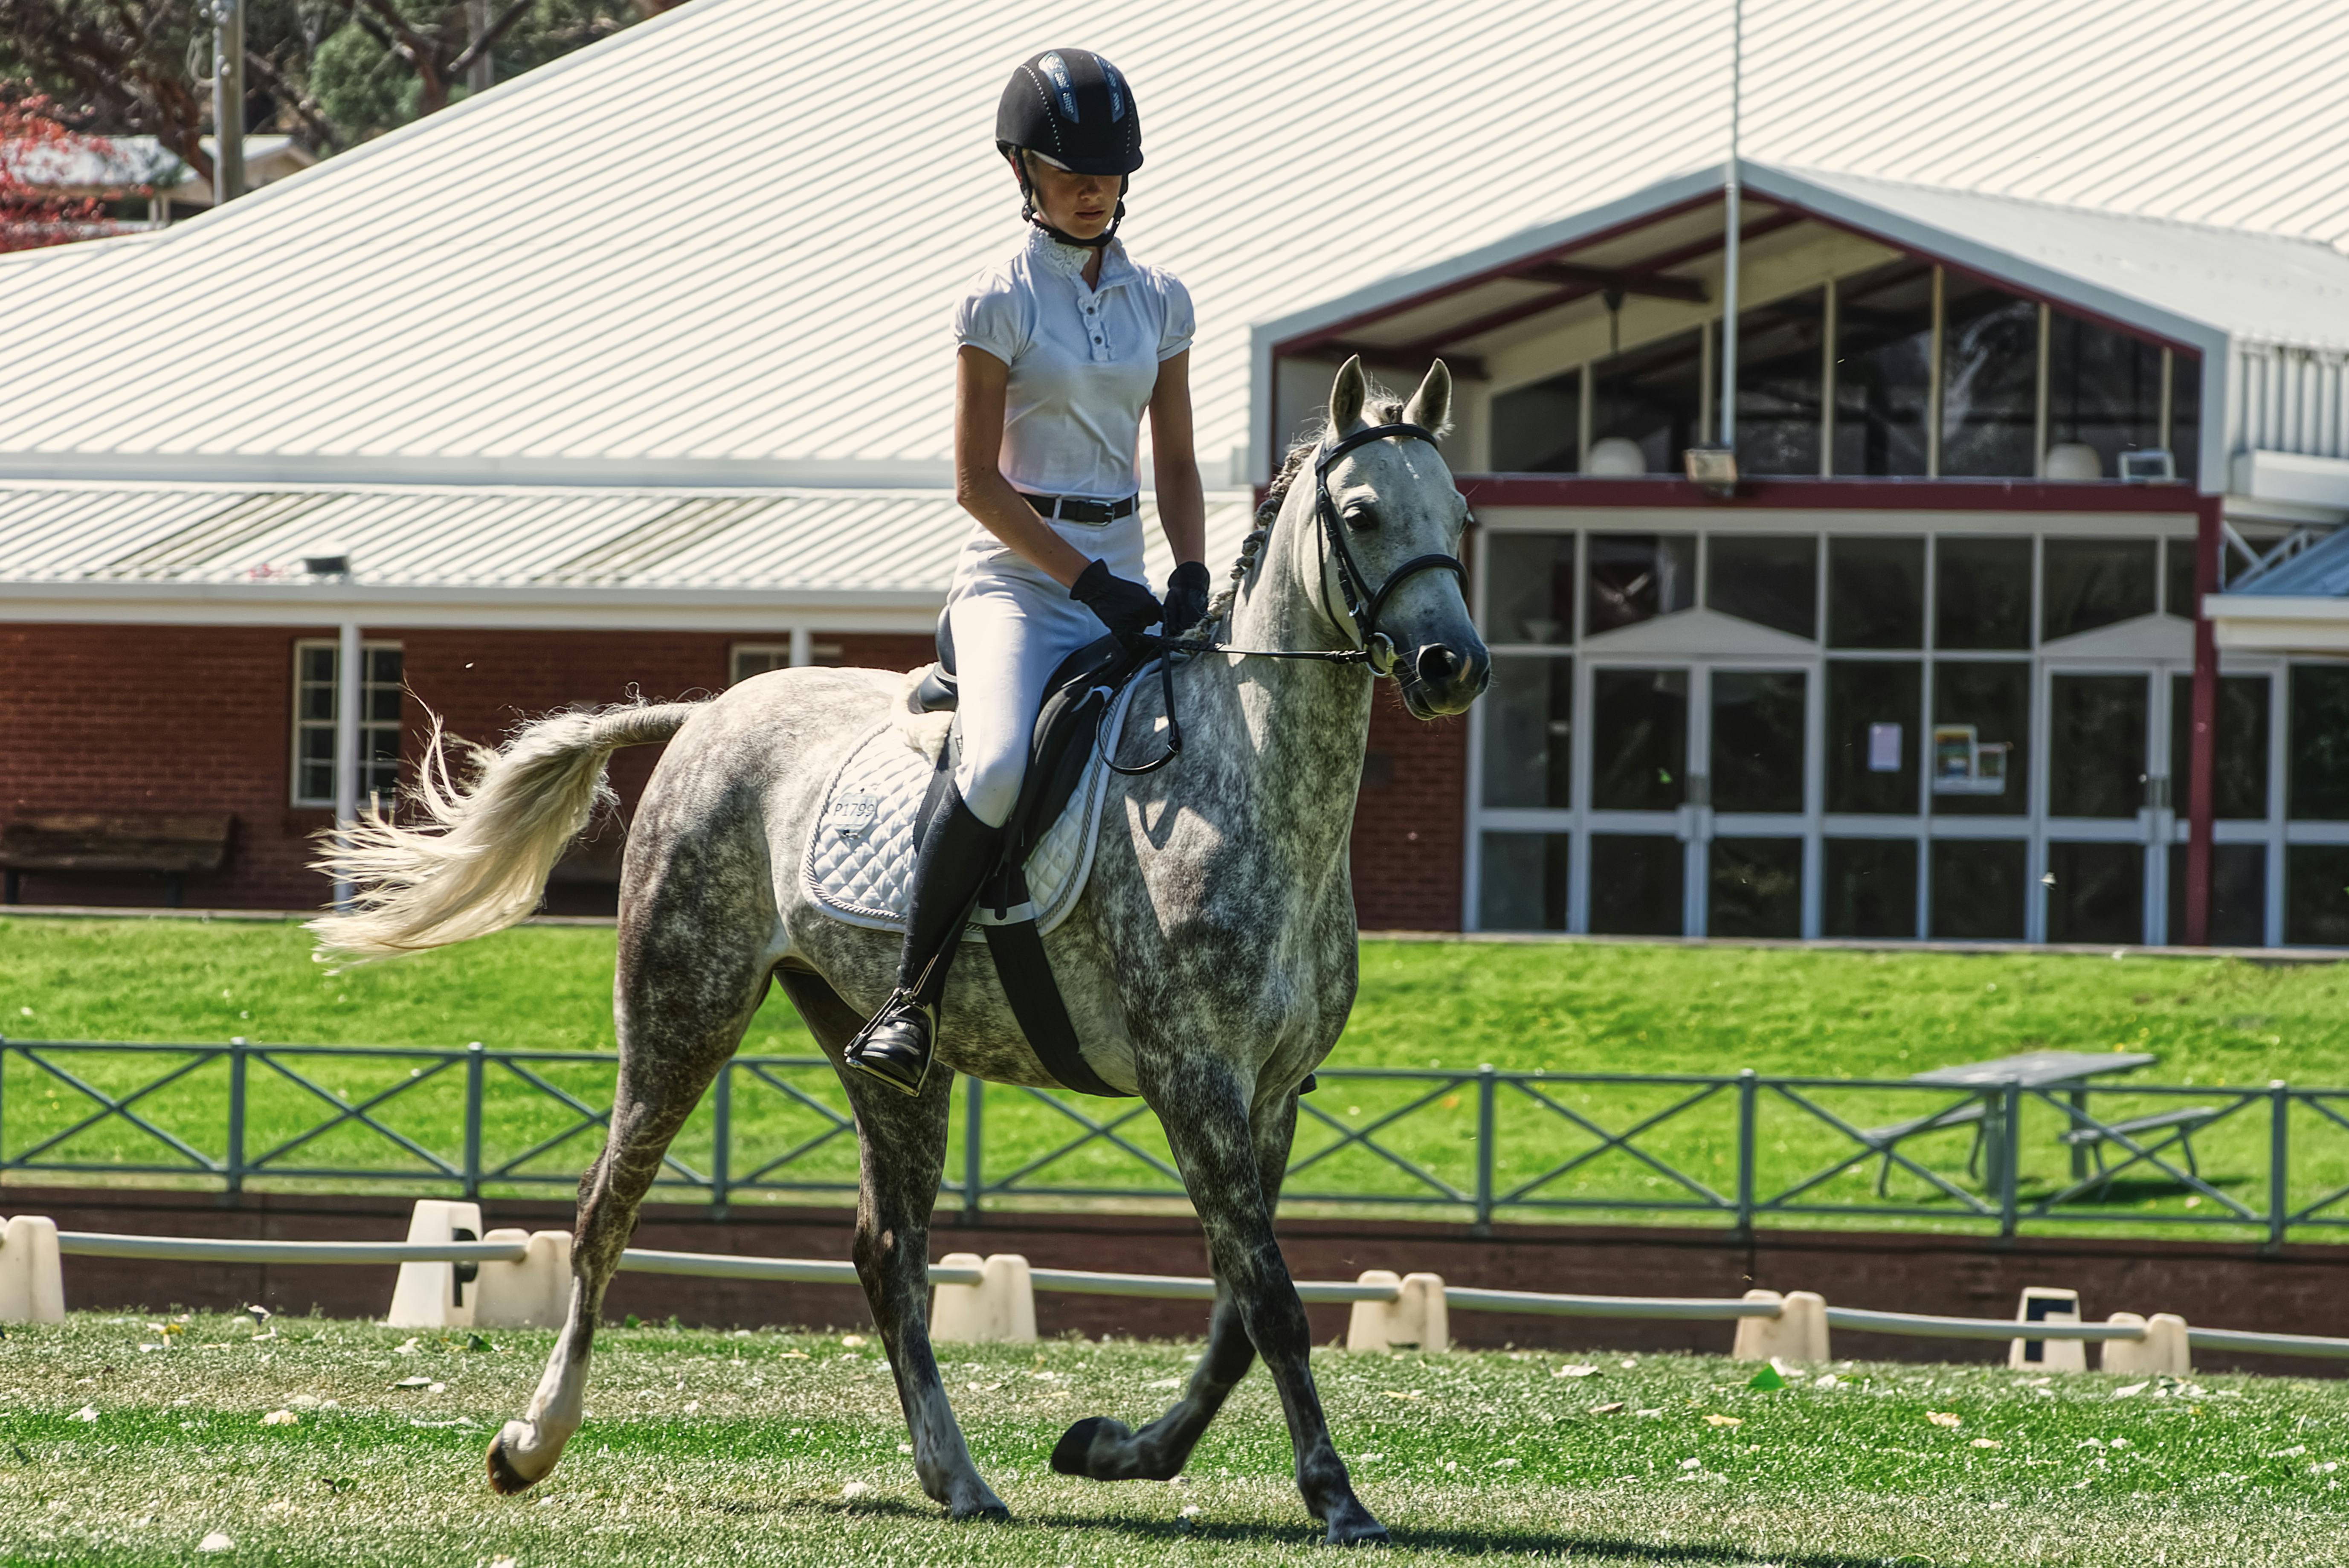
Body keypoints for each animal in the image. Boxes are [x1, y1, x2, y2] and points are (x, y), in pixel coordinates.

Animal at [312, 356, 1489, 1545]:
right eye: (1360, 514)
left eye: (1461, 517)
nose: (1453, 665)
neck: (1250, 789)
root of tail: (707, 714)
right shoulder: (1193, 1081)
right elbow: (1274, 1299)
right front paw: (1334, 1494)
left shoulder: (1272, 1091)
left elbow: (1240, 1307)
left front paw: (1119, 1450)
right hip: (682, 1007)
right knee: (607, 1213)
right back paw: (530, 1442)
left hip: (884, 1055)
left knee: (890, 1255)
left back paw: (957, 1475)